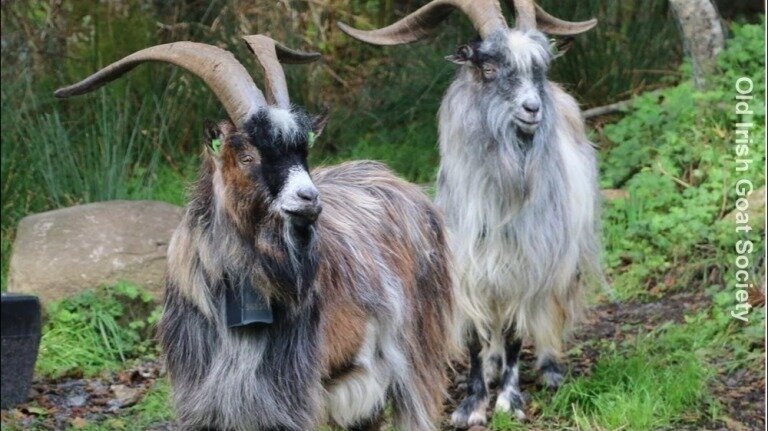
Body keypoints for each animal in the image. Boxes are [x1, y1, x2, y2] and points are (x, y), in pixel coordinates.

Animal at [55, 35, 454, 431]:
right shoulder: (204, 403)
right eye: (247, 156)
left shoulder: (288, 402)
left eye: (304, 153)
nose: (309, 199)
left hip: (416, 357)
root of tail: (399, 182)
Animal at [339, 0, 603, 426]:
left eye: (540, 68)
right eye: (488, 67)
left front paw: (510, 401)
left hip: (567, 251)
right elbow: (476, 338)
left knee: (553, 304)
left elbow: (514, 331)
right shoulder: (467, 272)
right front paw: (472, 405)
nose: (533, 109)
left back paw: (550, 367)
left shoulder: (523, 266)